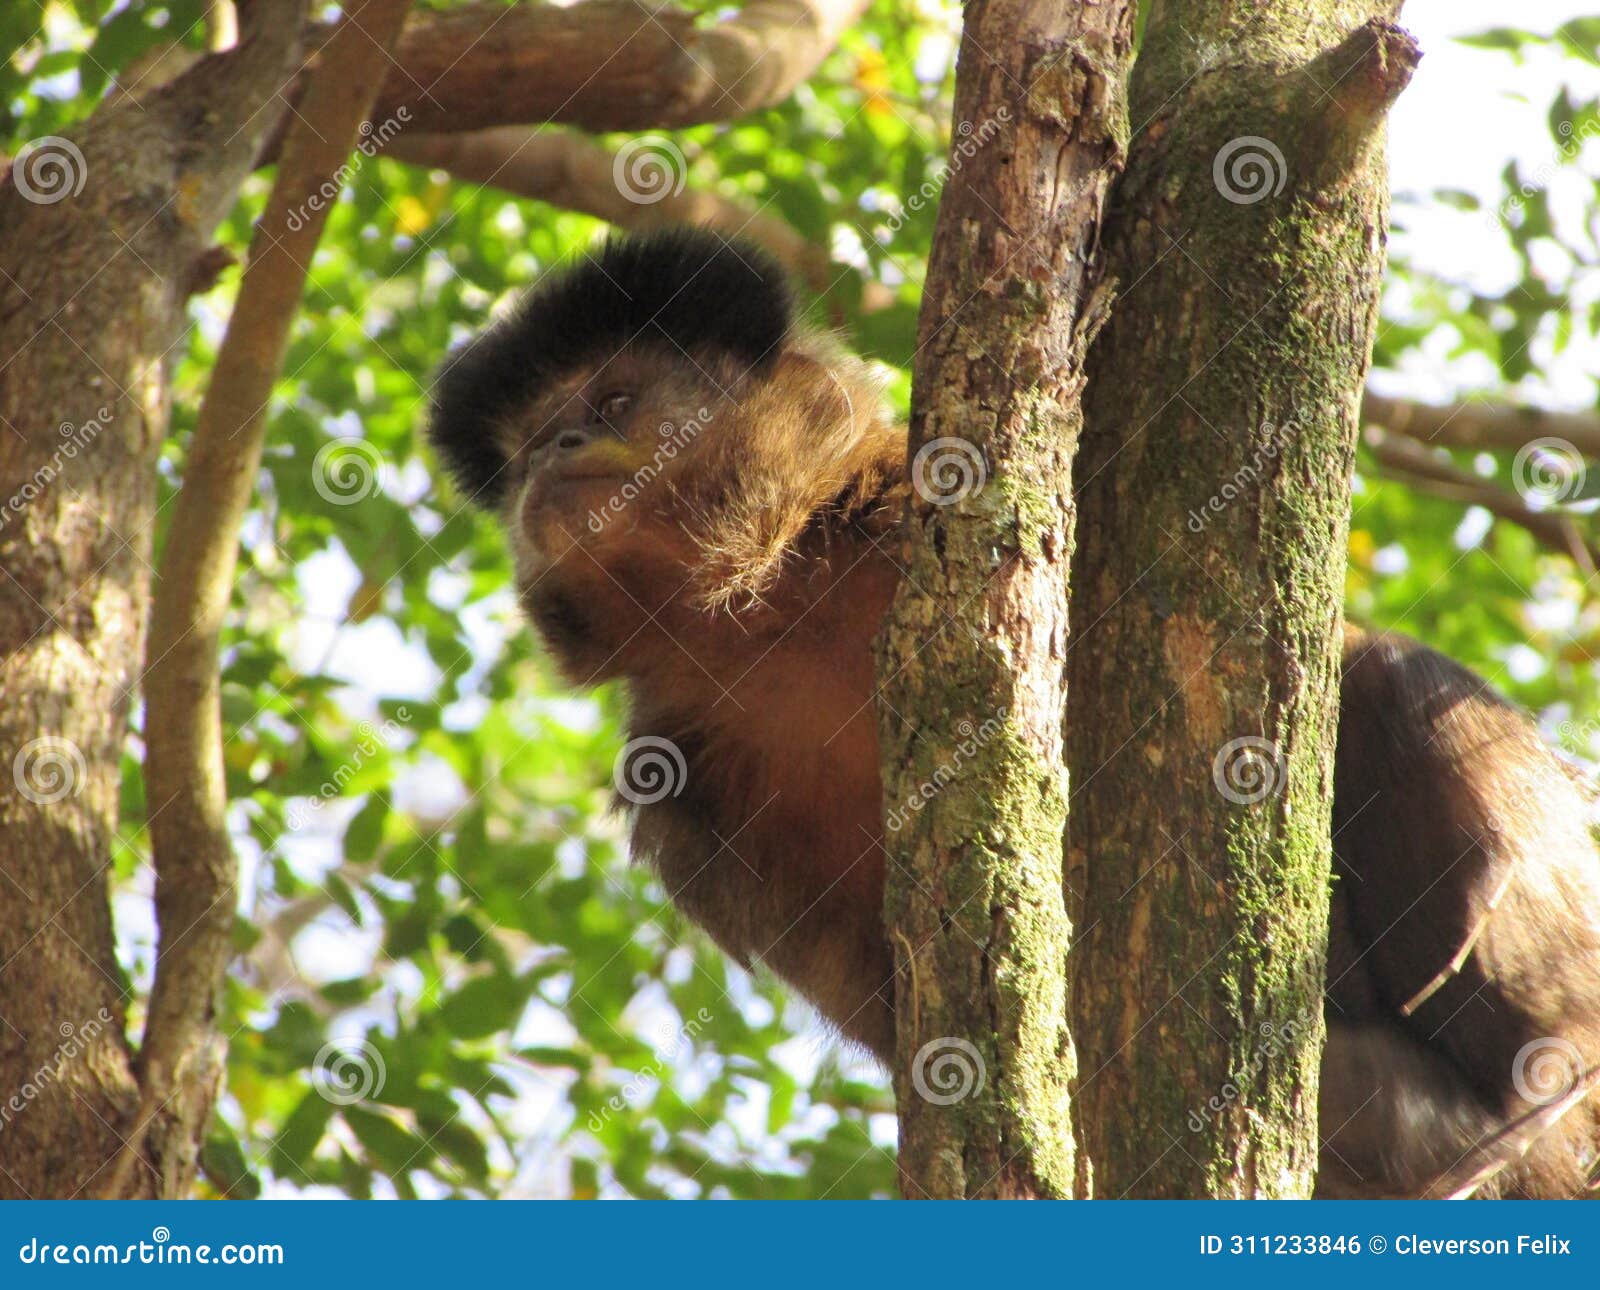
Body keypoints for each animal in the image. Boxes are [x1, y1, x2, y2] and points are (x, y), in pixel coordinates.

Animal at [427, 226, 1600, 1198]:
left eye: (613, 404)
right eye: (530, 442)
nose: (553, 455)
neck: (774, 608)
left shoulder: (921, 496)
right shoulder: (674, 783)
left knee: (1392, 680)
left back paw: (1523, 1085)